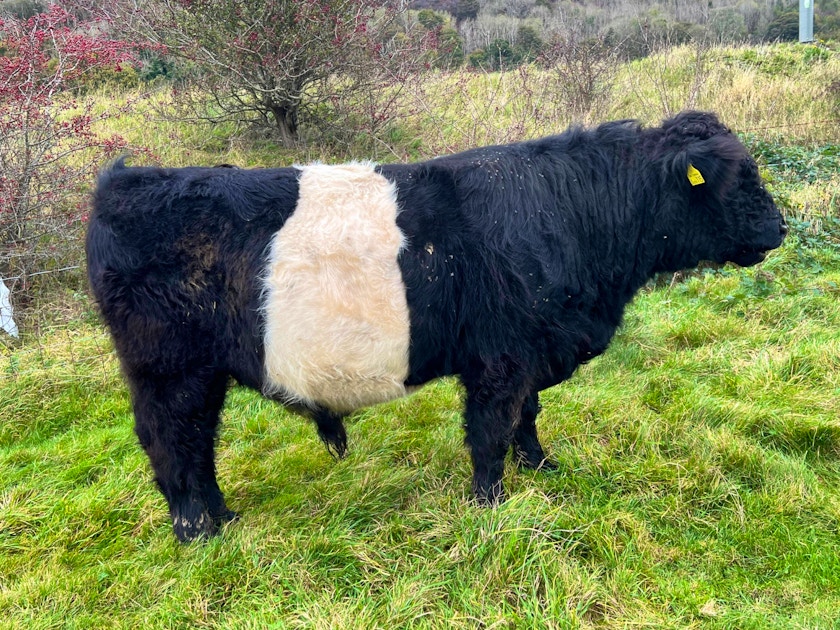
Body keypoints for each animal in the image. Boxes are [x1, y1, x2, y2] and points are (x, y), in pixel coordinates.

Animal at [86, 111, 786, 542]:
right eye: (735, 179)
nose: (780, 228)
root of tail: (123, 182)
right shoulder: (501, 358)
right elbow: (490, 430)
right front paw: (491, 504)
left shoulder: (529, 353)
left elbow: (527, 417)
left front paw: (542, 469)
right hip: (170, 372)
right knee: (174, 445)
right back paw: (200, 533)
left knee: (195, 446)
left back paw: (224, 518)